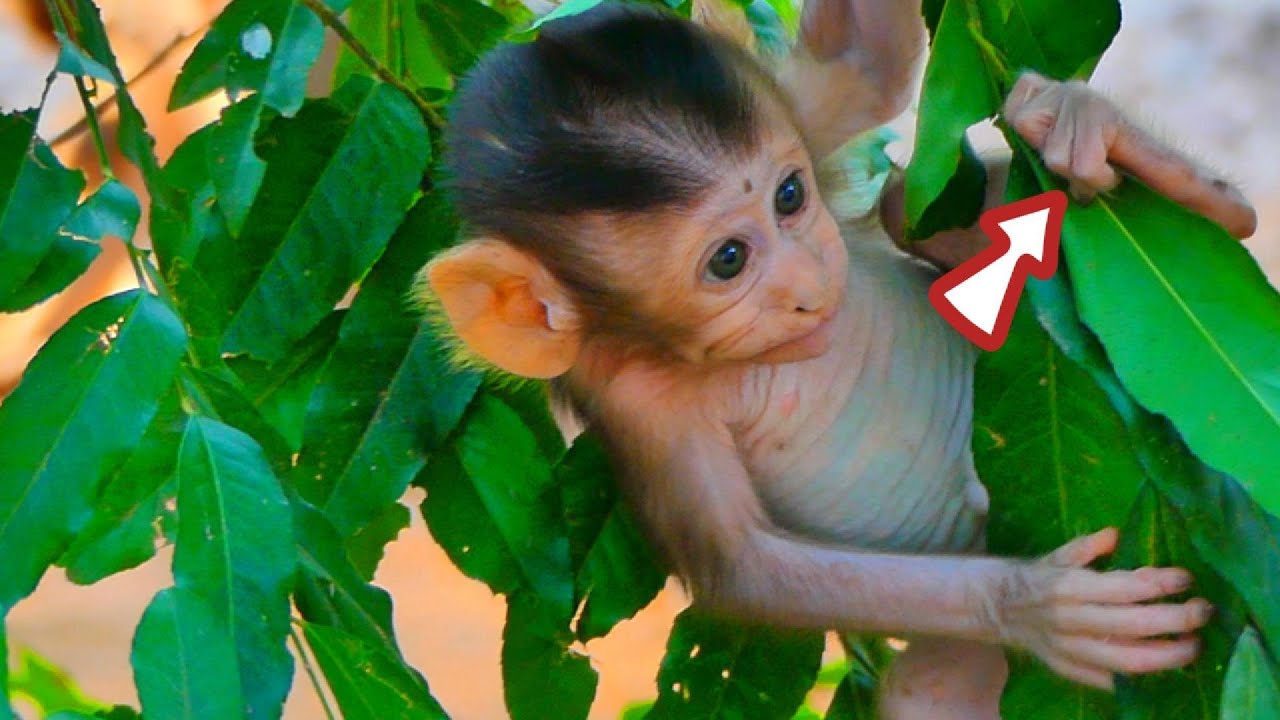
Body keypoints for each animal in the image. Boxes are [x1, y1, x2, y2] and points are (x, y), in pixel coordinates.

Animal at [419, 2, 1257, 717]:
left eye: (789, 196)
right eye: (729, 260)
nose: (811, 283)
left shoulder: (800, 121)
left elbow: (868, 59)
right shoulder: (639, 403)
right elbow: (743, 568)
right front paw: (1033, 606)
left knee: (913, 207)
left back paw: (1125, 151)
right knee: (923, 694)